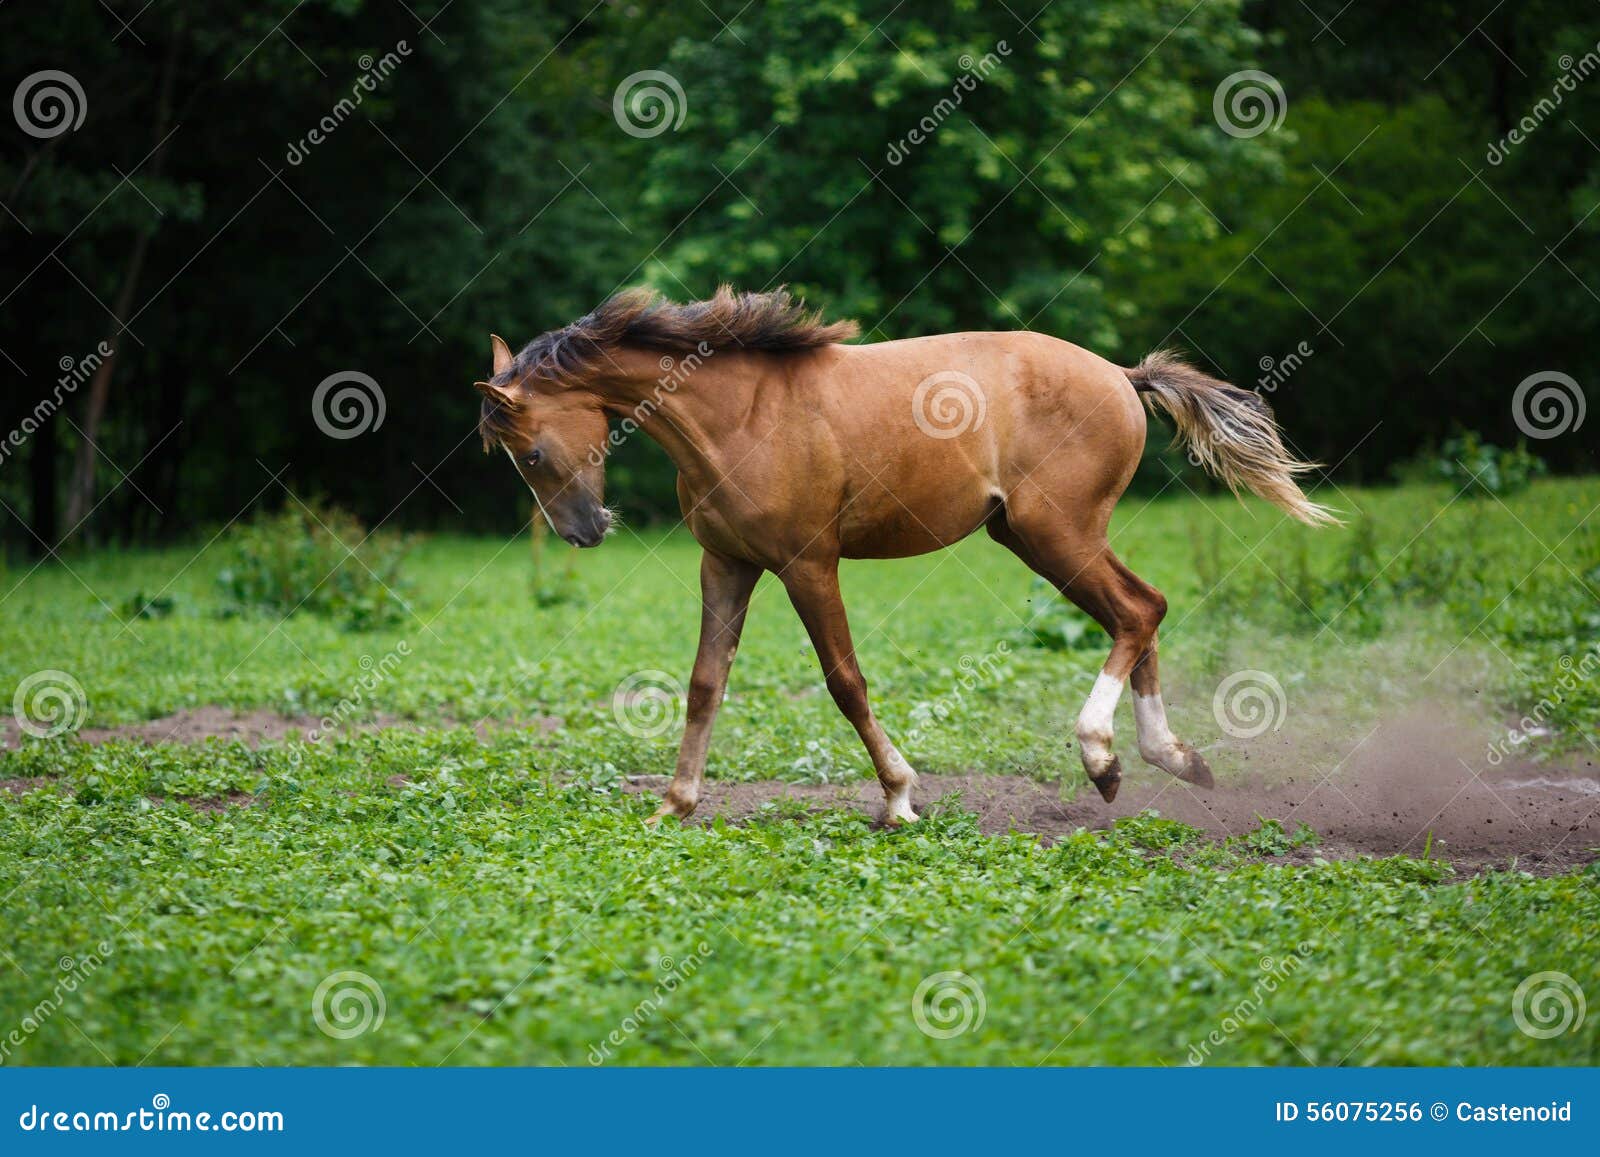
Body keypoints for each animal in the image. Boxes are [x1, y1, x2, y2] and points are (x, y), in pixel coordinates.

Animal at [475, 287, 1334, 827]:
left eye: (535, 451)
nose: (585, 531)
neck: (736, 413)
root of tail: (1123, 376)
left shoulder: (808, 562)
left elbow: (845, 681)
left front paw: (899, 797)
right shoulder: (726, 563)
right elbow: (704, 682)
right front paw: (675, 803)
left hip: (1056, 533)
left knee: (1137, 609)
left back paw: (1103, 754)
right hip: (1038, 536)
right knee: (1141, 609)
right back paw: (1168, 757)